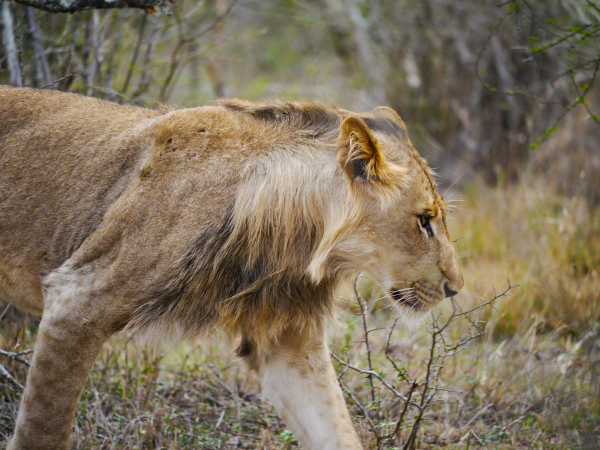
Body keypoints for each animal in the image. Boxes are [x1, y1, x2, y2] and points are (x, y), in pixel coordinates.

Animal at [0, 85, 464, 450]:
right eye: (424, 220)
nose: (456, 288)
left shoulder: (287, 338)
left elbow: (334, 426)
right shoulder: (77, 299)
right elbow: (43, 428)